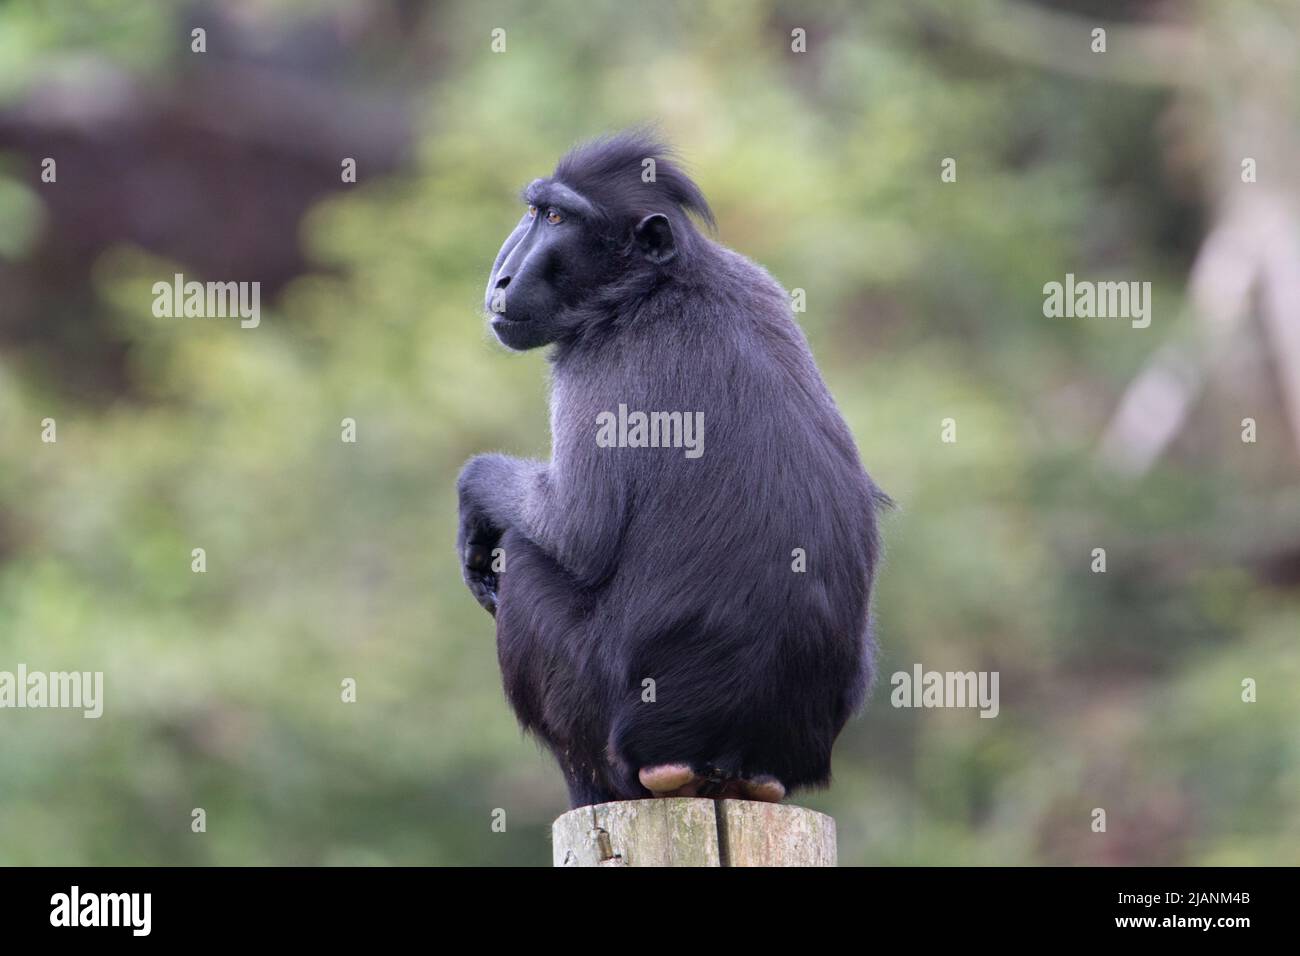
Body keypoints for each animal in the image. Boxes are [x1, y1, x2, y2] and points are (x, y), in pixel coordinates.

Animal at [457, 130, 886, 808]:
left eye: (557, 219)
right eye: (535, 210)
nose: (501, 278)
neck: (657, 283)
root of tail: (729, 753)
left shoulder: (597, 359)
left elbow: (576, 530)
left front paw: (474, 496)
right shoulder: (760, 279)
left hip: (603, 716)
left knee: (528, 556)